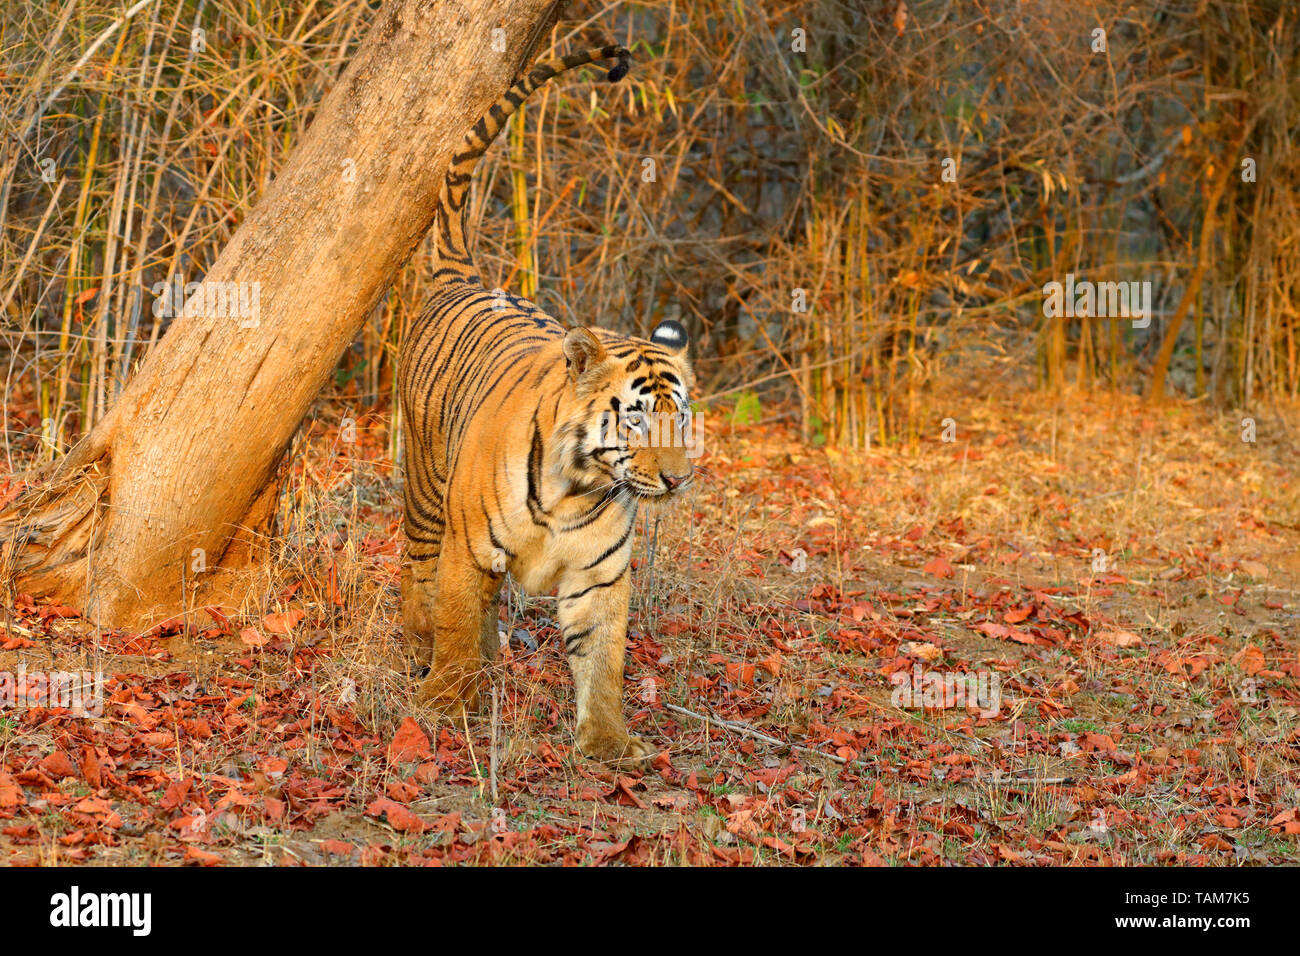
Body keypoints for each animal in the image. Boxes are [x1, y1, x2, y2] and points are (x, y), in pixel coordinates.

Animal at [398, 44, 694, 769]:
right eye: (636, 418)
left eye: (681, 417)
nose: (678, 480)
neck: (578, 487)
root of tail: (465, 276)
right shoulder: (468, 548)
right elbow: (455, 619)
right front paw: (443, 702)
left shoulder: (599, 575)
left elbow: (603, 659)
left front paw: (608, 740)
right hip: (426, 489)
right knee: (418, 573)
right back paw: (424, 645)